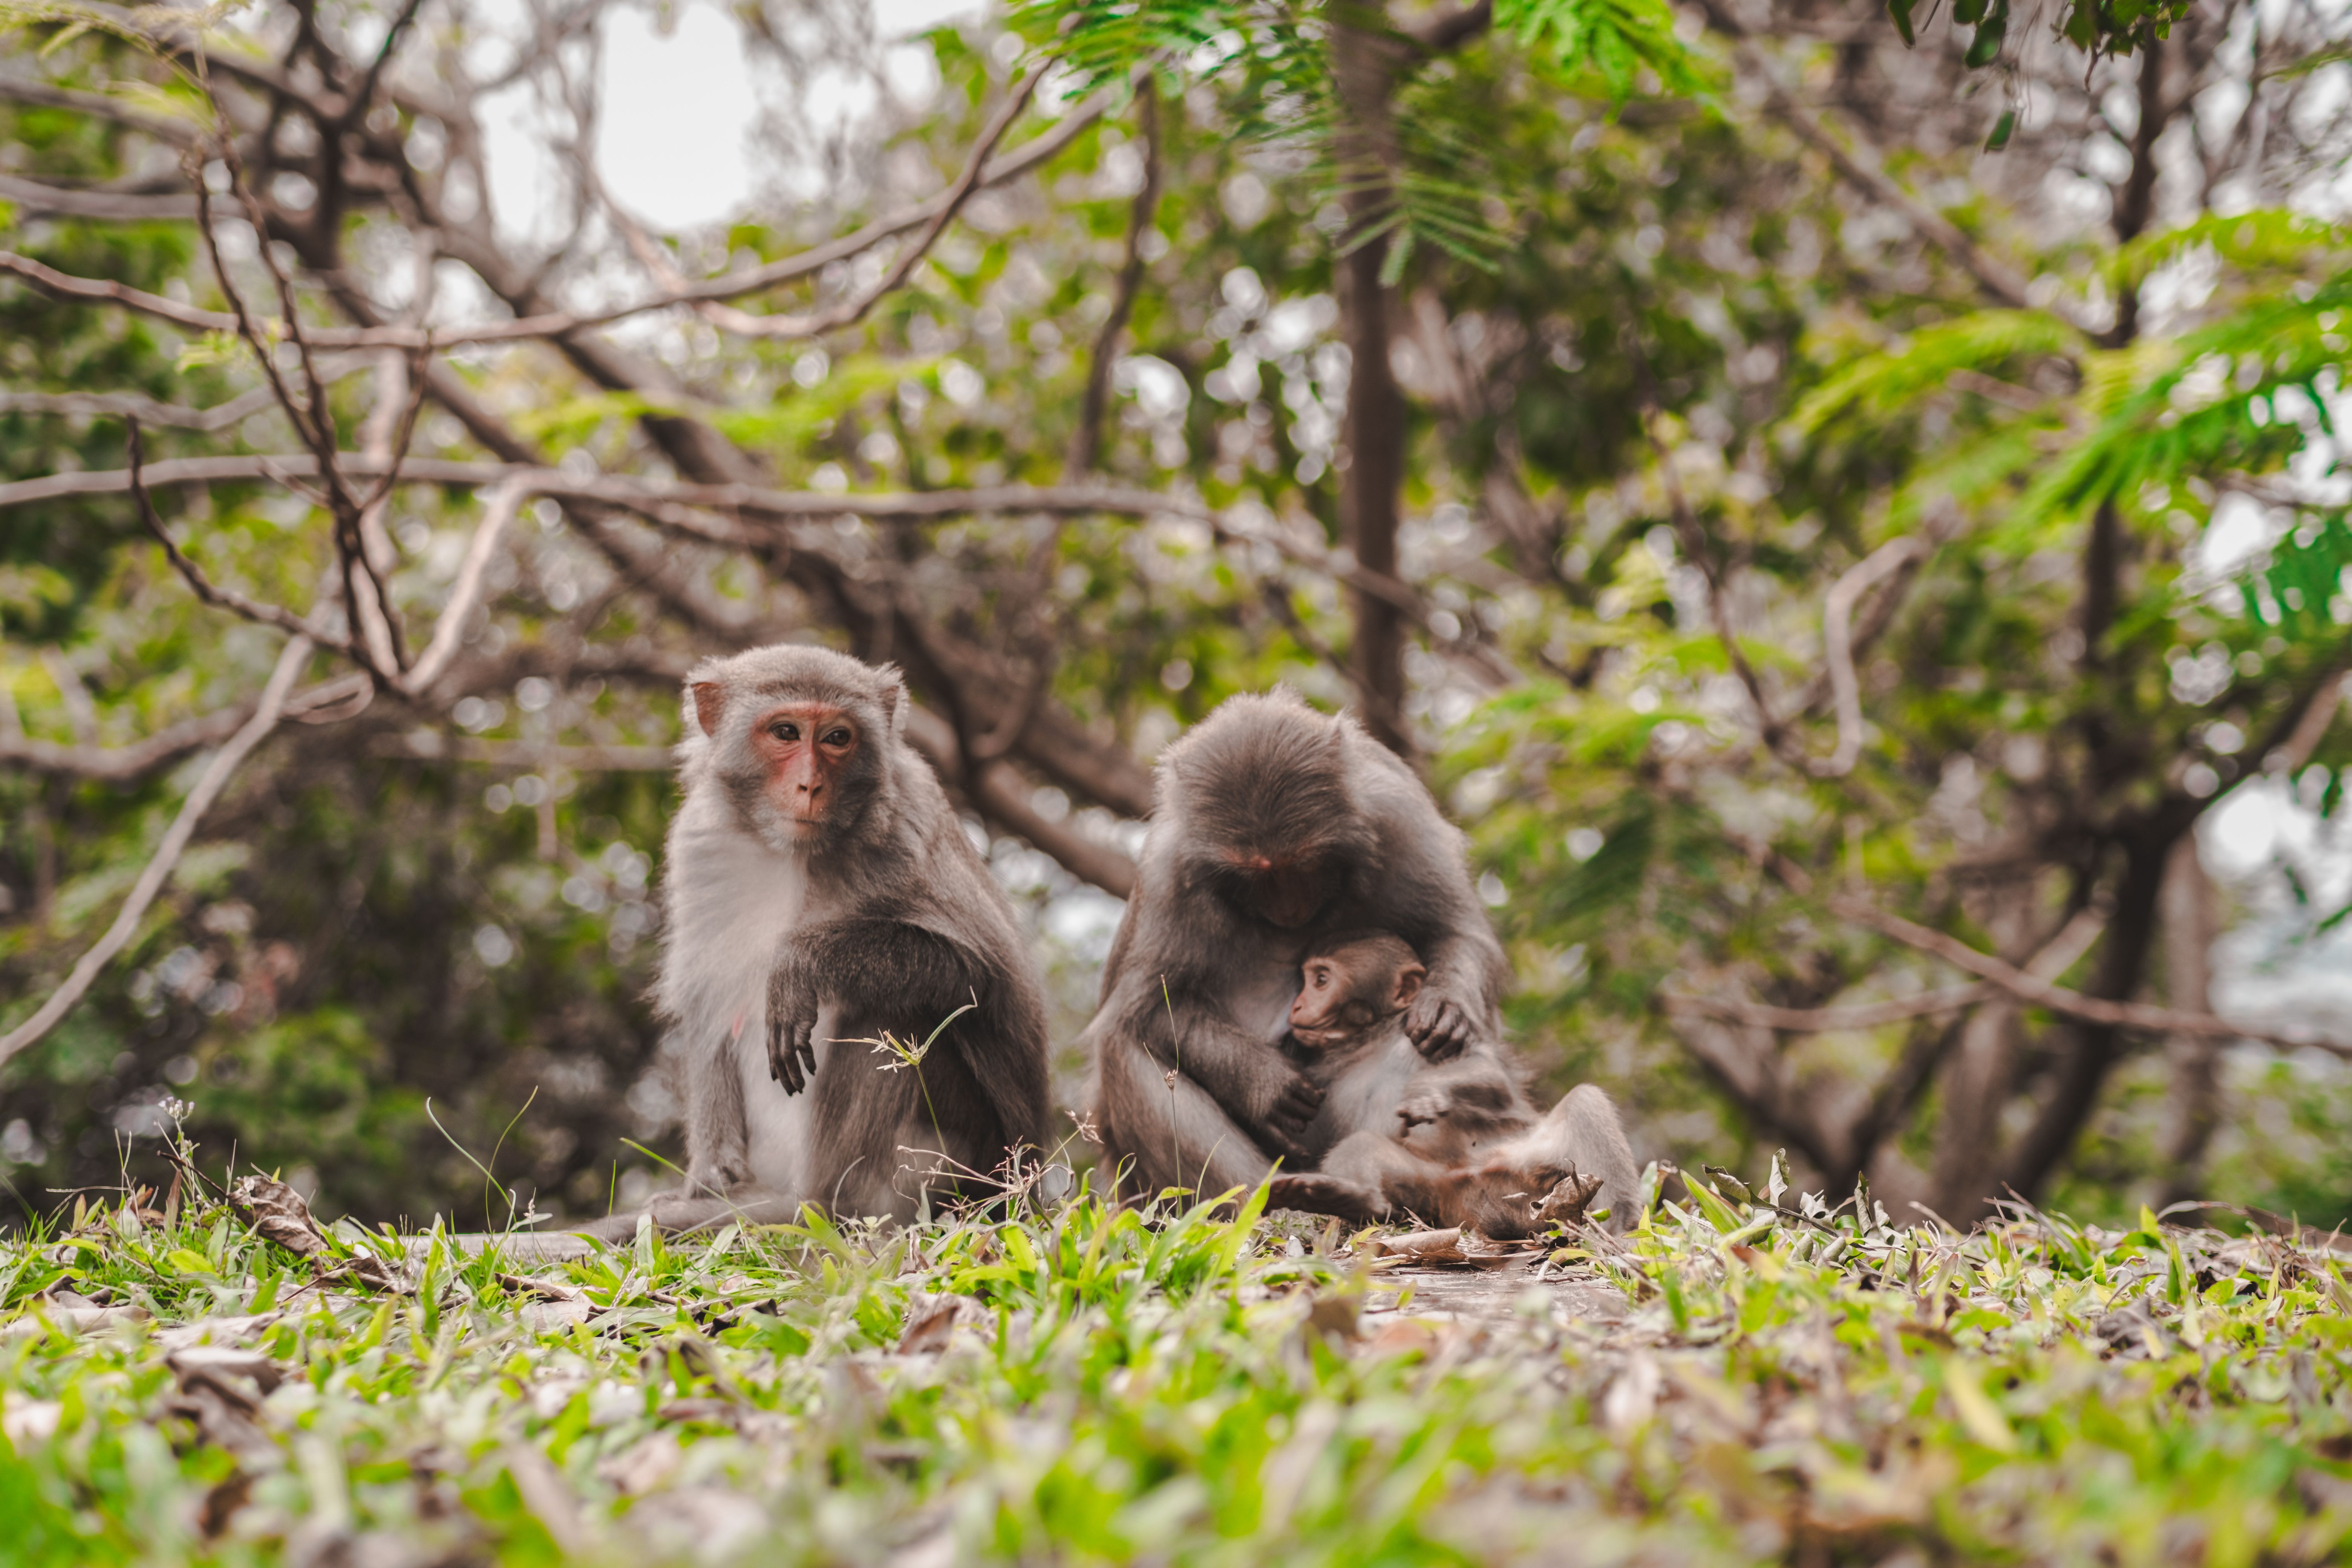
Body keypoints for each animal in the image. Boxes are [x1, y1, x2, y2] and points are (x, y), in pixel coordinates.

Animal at [580, 645, 1050, 1239]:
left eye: (837, 738)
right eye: (786, 732)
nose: (810, 784)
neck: (790, 850)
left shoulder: (908, 828)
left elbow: (982, 974)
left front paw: (798, 965)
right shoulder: (700, 845)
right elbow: (708, 999)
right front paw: (709, 1175)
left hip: (980, 1172)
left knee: (895, 1015)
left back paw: (829, 1211)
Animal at [1077, 689, 1510, 1203]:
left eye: (1301, 863)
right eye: (1254, 874)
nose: (1289, 907)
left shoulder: (1396, 815)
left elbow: (1454, 930)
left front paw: (1445, 1007)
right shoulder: (1169, 873)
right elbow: (1146, 1008)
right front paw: (1263, 1081)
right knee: (1123, 1045)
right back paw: (1263, 1196)